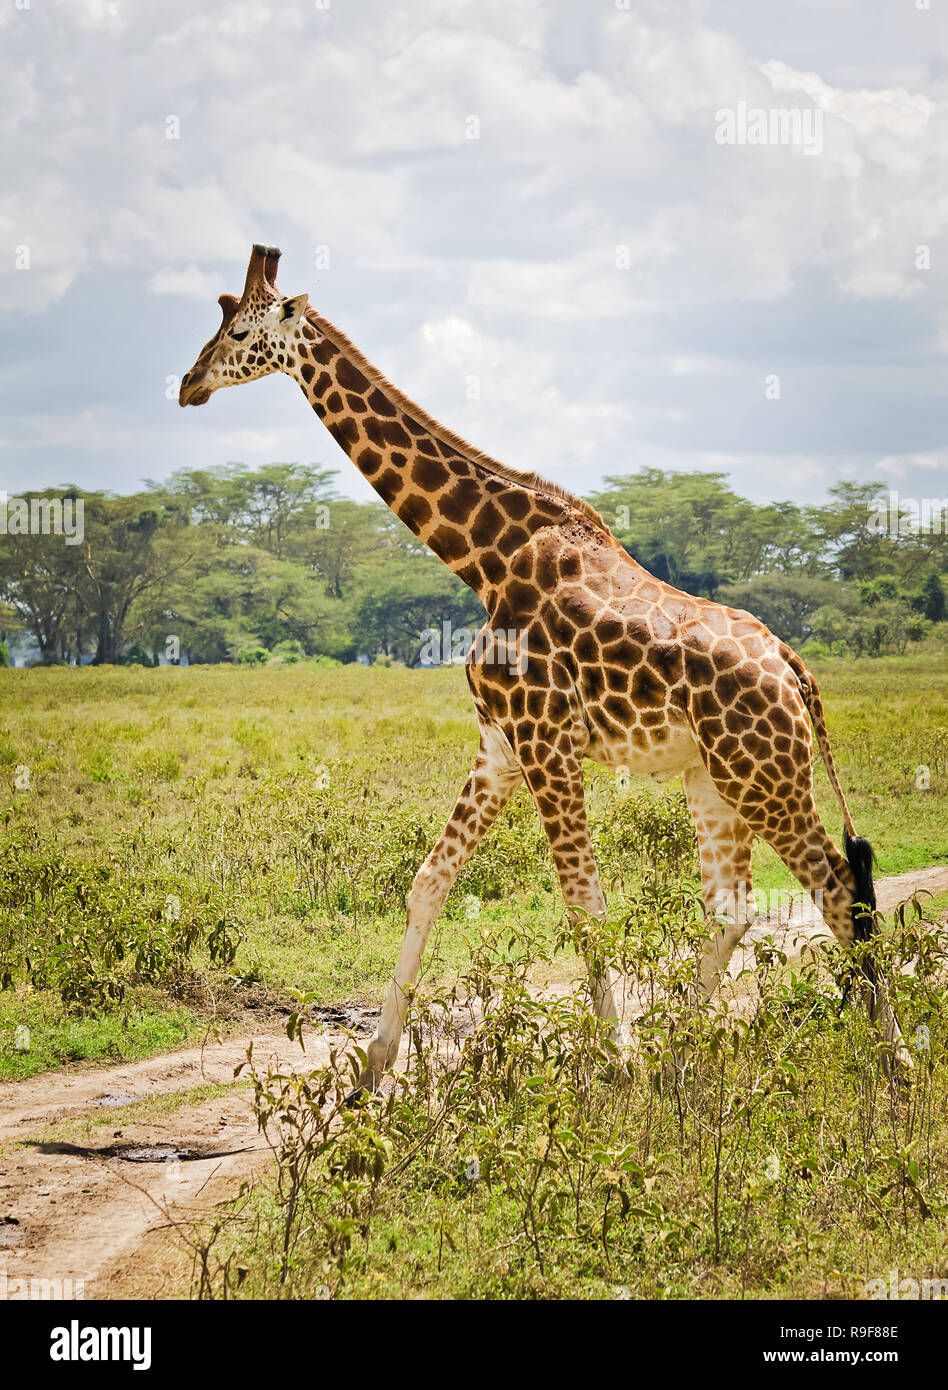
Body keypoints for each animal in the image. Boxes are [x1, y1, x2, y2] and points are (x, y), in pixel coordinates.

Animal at [179, 245, 911, 1089]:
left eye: (238, 331)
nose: (187, 384)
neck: (485, 556)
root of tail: (796, 671)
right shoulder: (499, 744)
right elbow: (428, 884)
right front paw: (371, 1074)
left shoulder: (546, 741)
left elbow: (585, 906)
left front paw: (615, 1066)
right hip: (714, 776)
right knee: (733, 905)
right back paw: (679, 1055)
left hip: (767, 774)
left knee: (839, 889)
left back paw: (893, 1062)